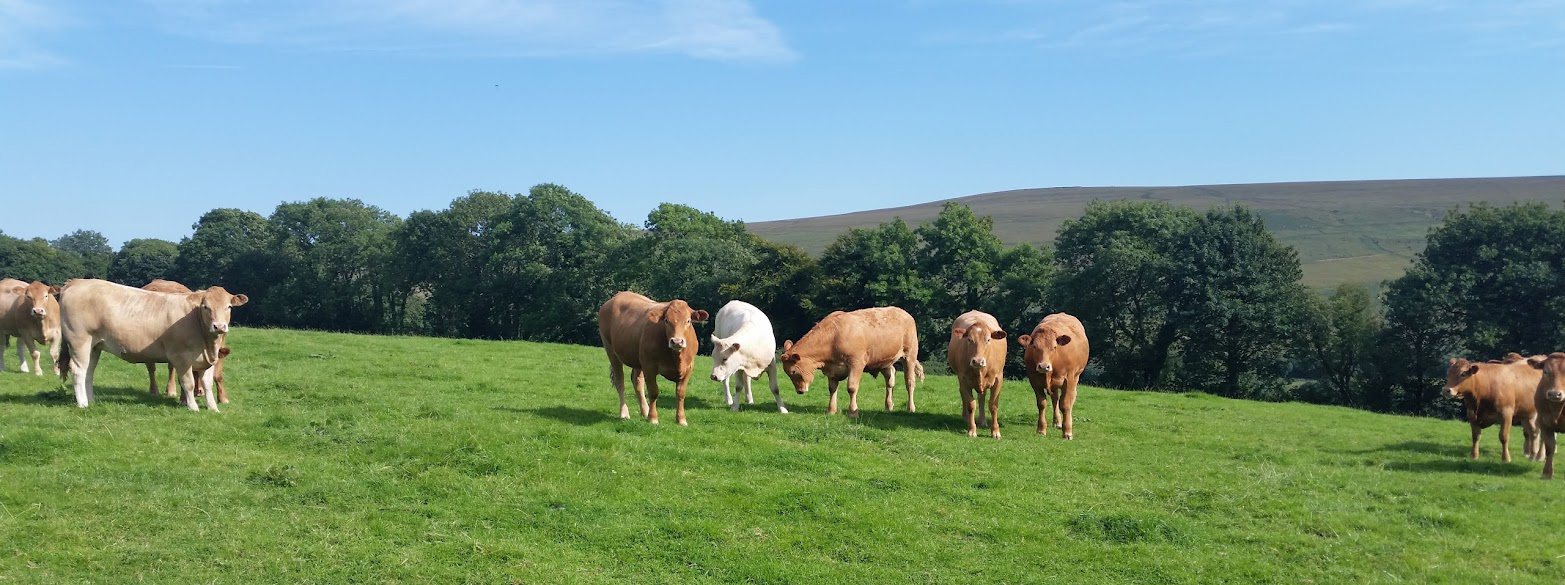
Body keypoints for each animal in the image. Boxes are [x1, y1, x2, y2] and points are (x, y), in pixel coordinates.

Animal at [58, 279, 246, 411]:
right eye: (206, 307)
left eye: (229, 306)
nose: (219, 326)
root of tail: (77, 282)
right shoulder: (182, 358)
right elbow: (189, 383)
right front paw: (193, 407)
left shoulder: (207, 360)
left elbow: (207, 384)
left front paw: (213, 408)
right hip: (80, 341)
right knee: (78, 371)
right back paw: (83, 404)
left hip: (94, 346)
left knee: (89, 372)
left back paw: (91, 400)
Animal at [599, 291, 708, 426]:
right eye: (666, 320)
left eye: (688, 321)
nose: (677, 341)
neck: (676, 358)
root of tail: (617, 296)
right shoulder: (649, 366)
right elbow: (653, 391)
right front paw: (653, 418)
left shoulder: (689, 367)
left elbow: (680, 393)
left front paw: (681, 420)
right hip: (610, 349)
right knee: (620, 380)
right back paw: (624, 413)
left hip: (638, 359)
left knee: (637, 381)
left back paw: (645, 411)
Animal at [779, 306, 923, 417]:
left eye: (794, 371)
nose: (800, 391)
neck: (833, 338)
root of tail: (904, 312)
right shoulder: (832, 369)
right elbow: (832, 389)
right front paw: (831, 410)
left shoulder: (856, 363)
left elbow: (852, 388)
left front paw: (853, 412)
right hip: (883, 361)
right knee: (890, 379)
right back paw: (889, 406)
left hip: (910, 355)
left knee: (910, 382)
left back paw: (910, 408)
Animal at [947, 310, 1007, 438]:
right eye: (969, 339)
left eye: (988, 340)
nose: (978, 361)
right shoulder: (963, 379)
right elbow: (971, 404)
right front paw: (971, 430)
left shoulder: (998, 379)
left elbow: (993, 405)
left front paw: (995, 431)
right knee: (964, 395)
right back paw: (966, 418)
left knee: (982, 397)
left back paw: (983, 421)